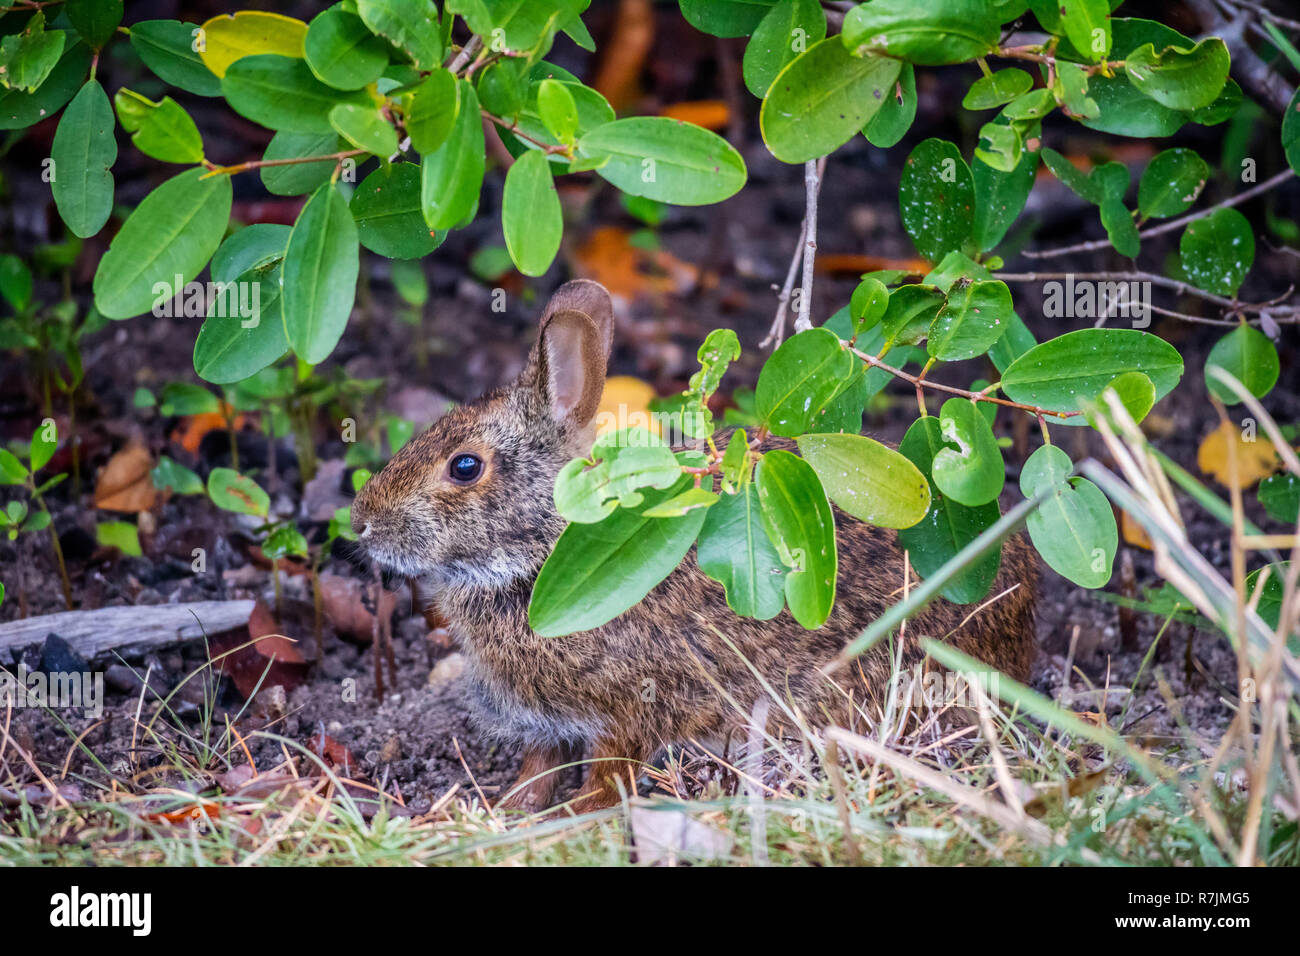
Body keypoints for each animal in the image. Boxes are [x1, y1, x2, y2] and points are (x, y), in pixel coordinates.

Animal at [351, 279, 1038, 813]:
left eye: (465, 467)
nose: (361, 522)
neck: (545, 545)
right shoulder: (547, 722)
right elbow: (538, 767)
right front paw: (507, 810)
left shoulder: (633, 708)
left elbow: (609, 774)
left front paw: (569, 816)